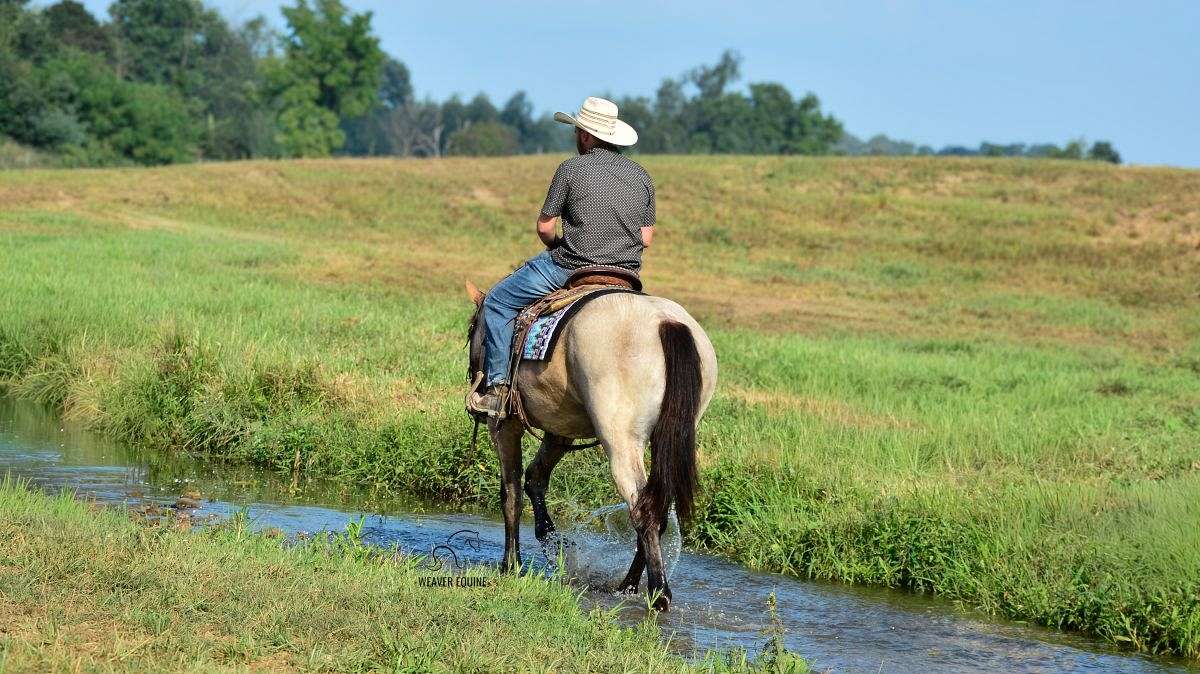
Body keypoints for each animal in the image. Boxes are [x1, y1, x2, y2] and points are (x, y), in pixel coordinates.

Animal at [464, 282, 718, 610]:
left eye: (471, 329)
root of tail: (666, 322)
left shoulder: (504, 425)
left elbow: (511, 494)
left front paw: (511, 565)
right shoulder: (561, 427)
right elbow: (535, 478)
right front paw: (553, 541)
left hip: (621, 441)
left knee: (643, 510)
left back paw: (658, 593)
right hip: (669, 438)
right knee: (656, 509)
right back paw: (628, 585)